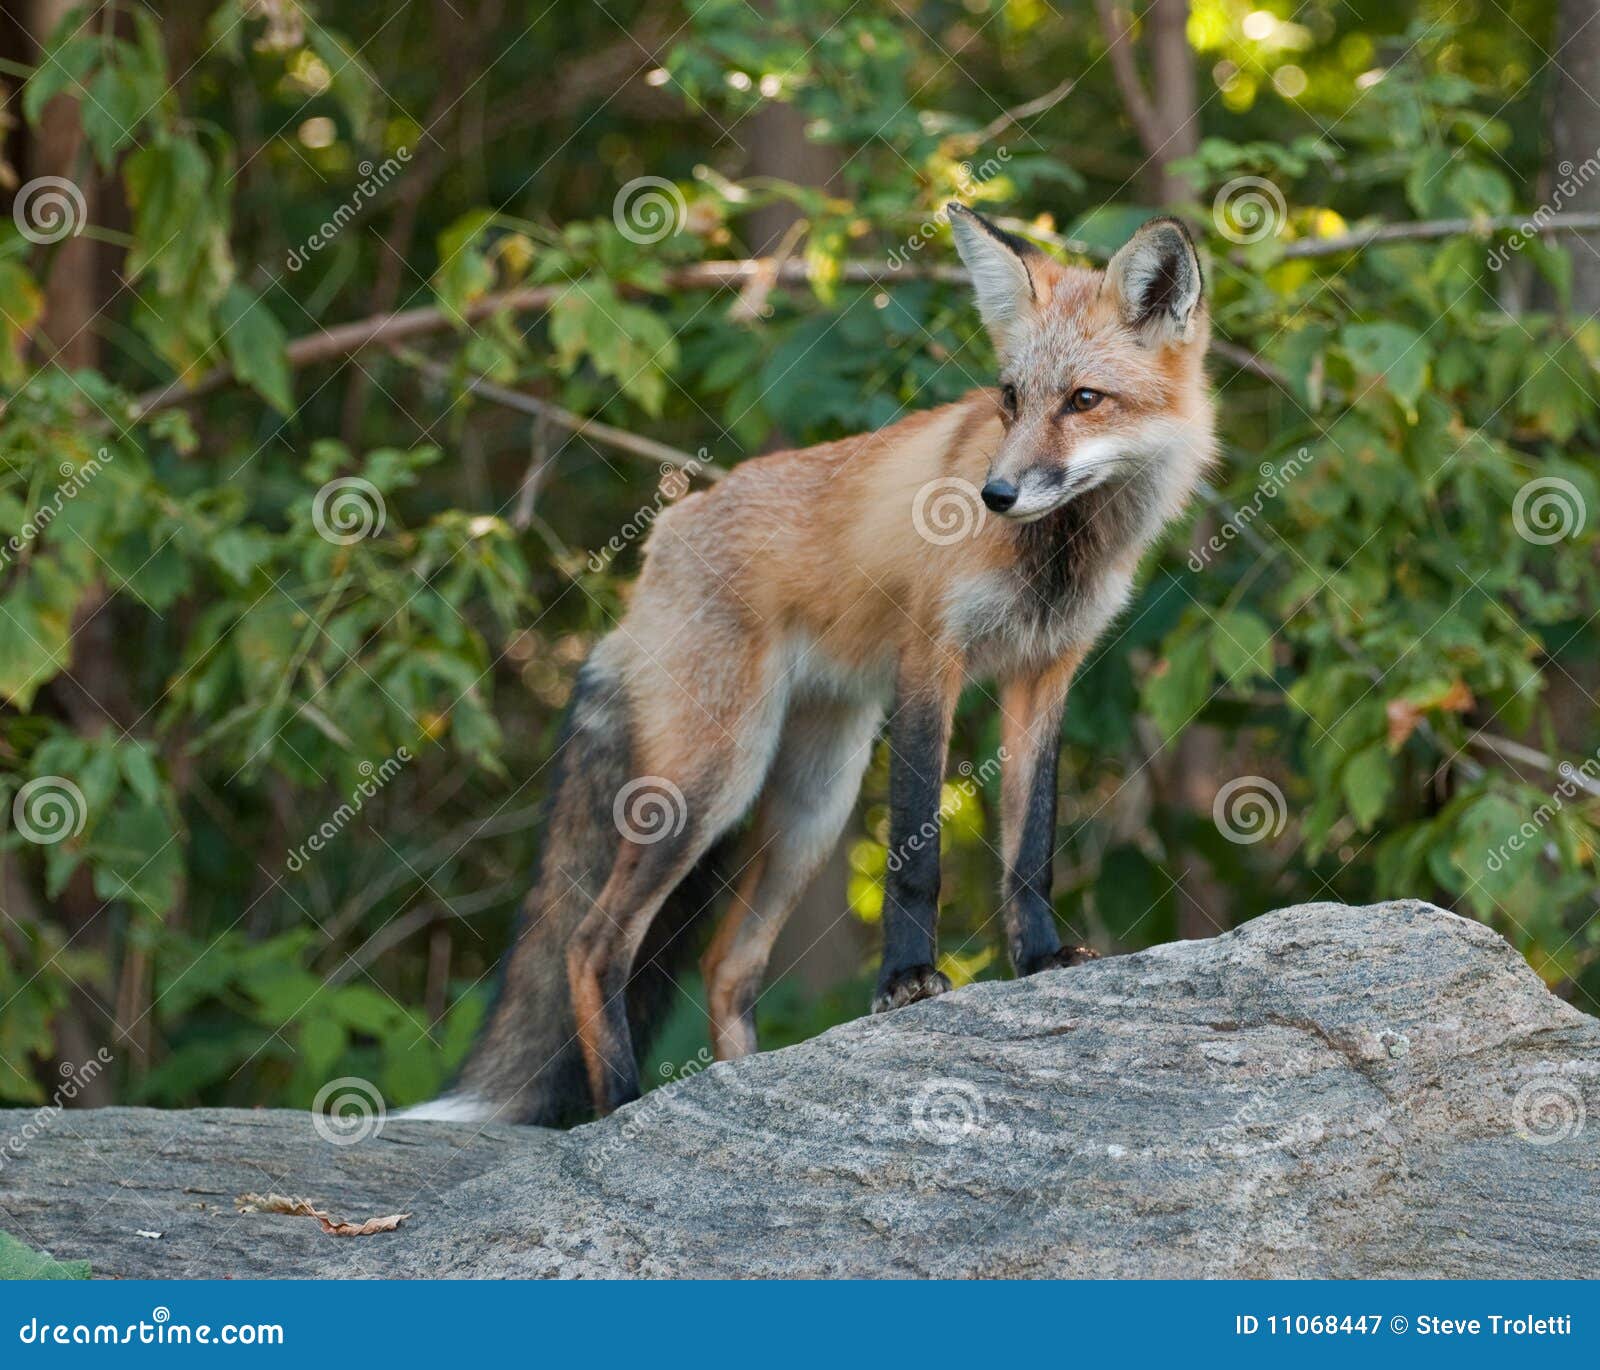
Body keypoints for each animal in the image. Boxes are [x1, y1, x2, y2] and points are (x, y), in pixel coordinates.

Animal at [406, 206, 1215, 1126]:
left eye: (1084, 400)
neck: (1056, 558)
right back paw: (621, 1106)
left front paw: (1040, 958)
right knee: (590, 943)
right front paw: (905, 981)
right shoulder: (929, 656)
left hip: (811, 808)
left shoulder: (1046, 670)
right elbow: (914, 855)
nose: (995, 495)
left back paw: (738, 1085)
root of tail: (655, 550)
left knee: (726, 967)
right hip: (713, 784)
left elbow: (1030, 845)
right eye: (1010, 398)